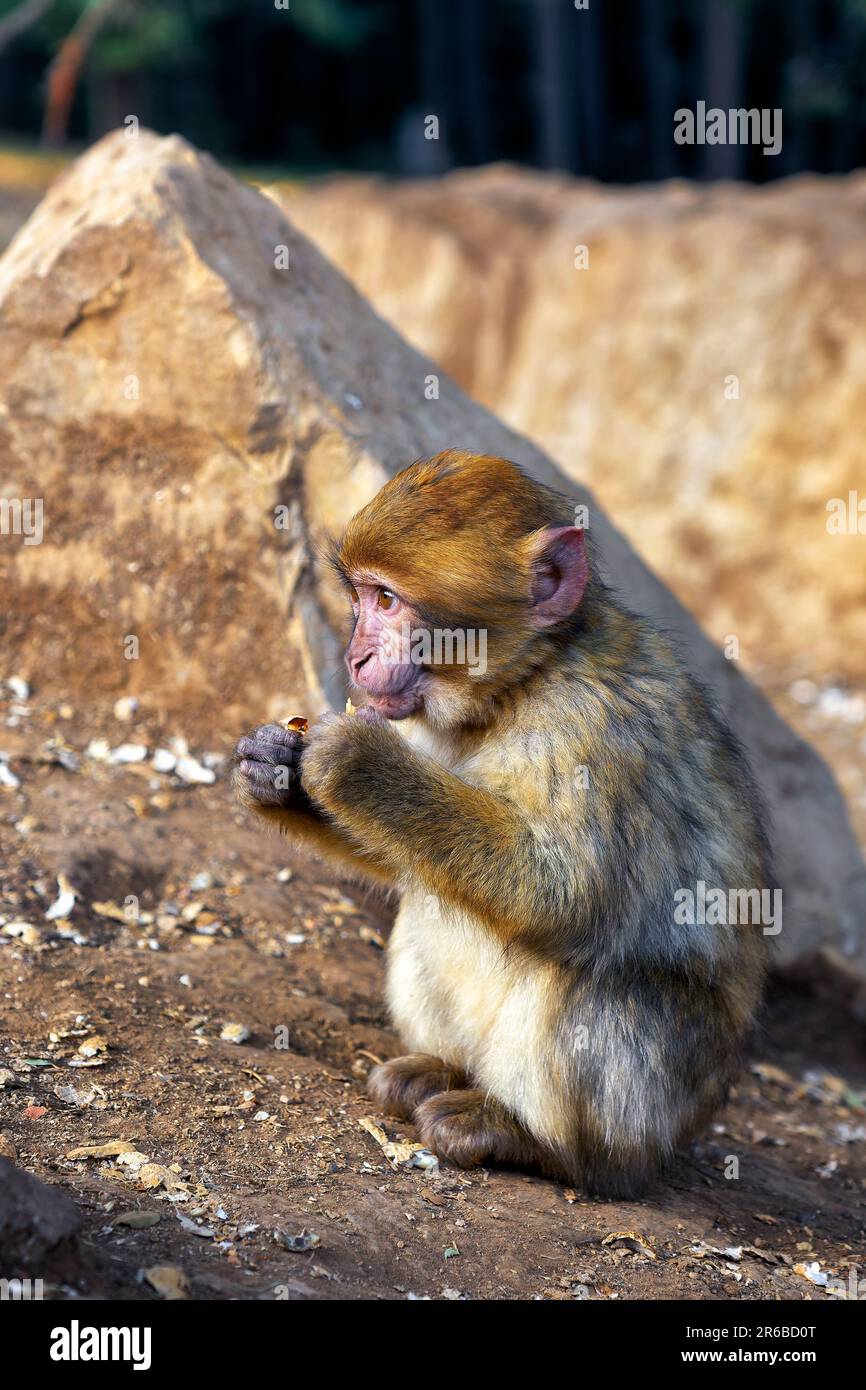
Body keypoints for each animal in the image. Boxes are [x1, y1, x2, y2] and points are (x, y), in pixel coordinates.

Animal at [234, 450, 770, 1197]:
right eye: (359, 599)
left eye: (389, 601)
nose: (354, 658)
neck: (523, 683)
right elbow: (401, 858)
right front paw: (274, 770)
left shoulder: (595, 730)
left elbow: (564, 891)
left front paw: (356, 764)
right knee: (430, 901)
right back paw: (440, 1070)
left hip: (653, 1112)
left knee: (597, 984)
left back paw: (534, 1139)